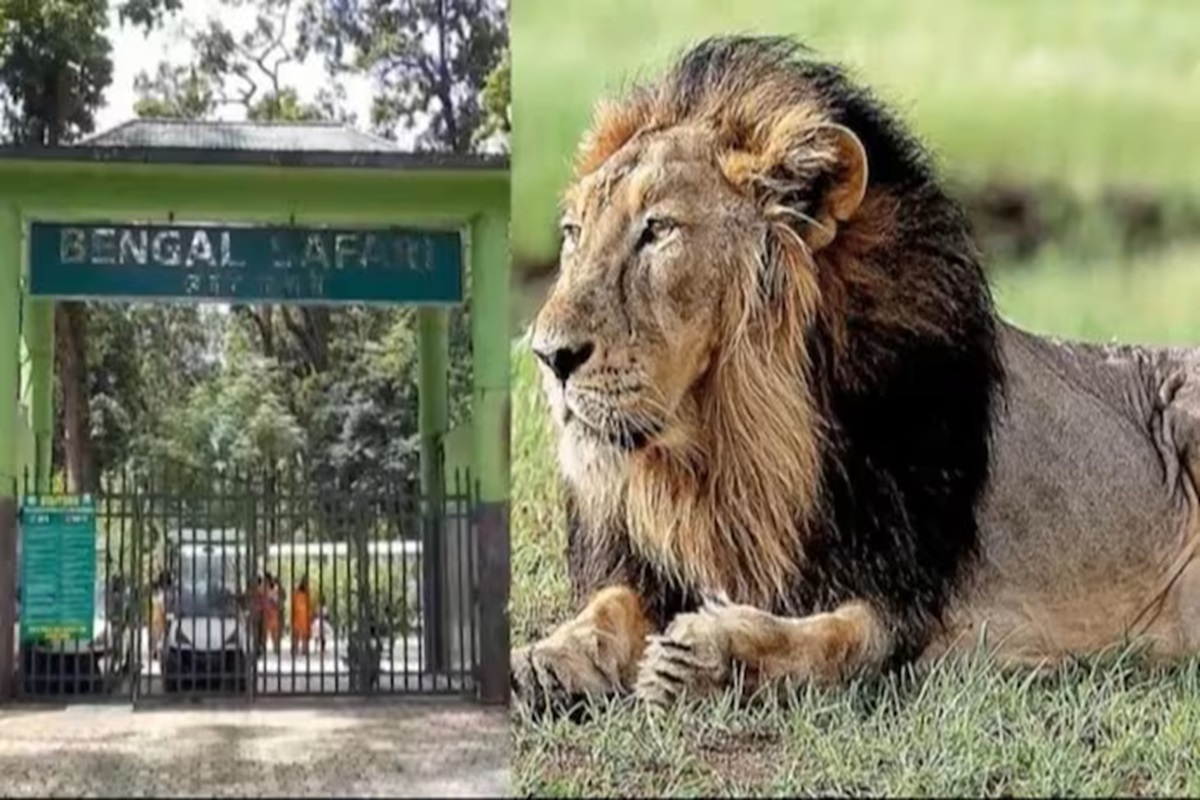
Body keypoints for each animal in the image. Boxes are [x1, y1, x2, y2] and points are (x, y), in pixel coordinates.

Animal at [511, 35, 1200, 714]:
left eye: (657, 230)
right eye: (573, 232)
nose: (548, 355)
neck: (729, 459)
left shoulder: (912, 601)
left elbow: (836, 640)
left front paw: (707, 659)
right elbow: (610, 605)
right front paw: (538, 662)